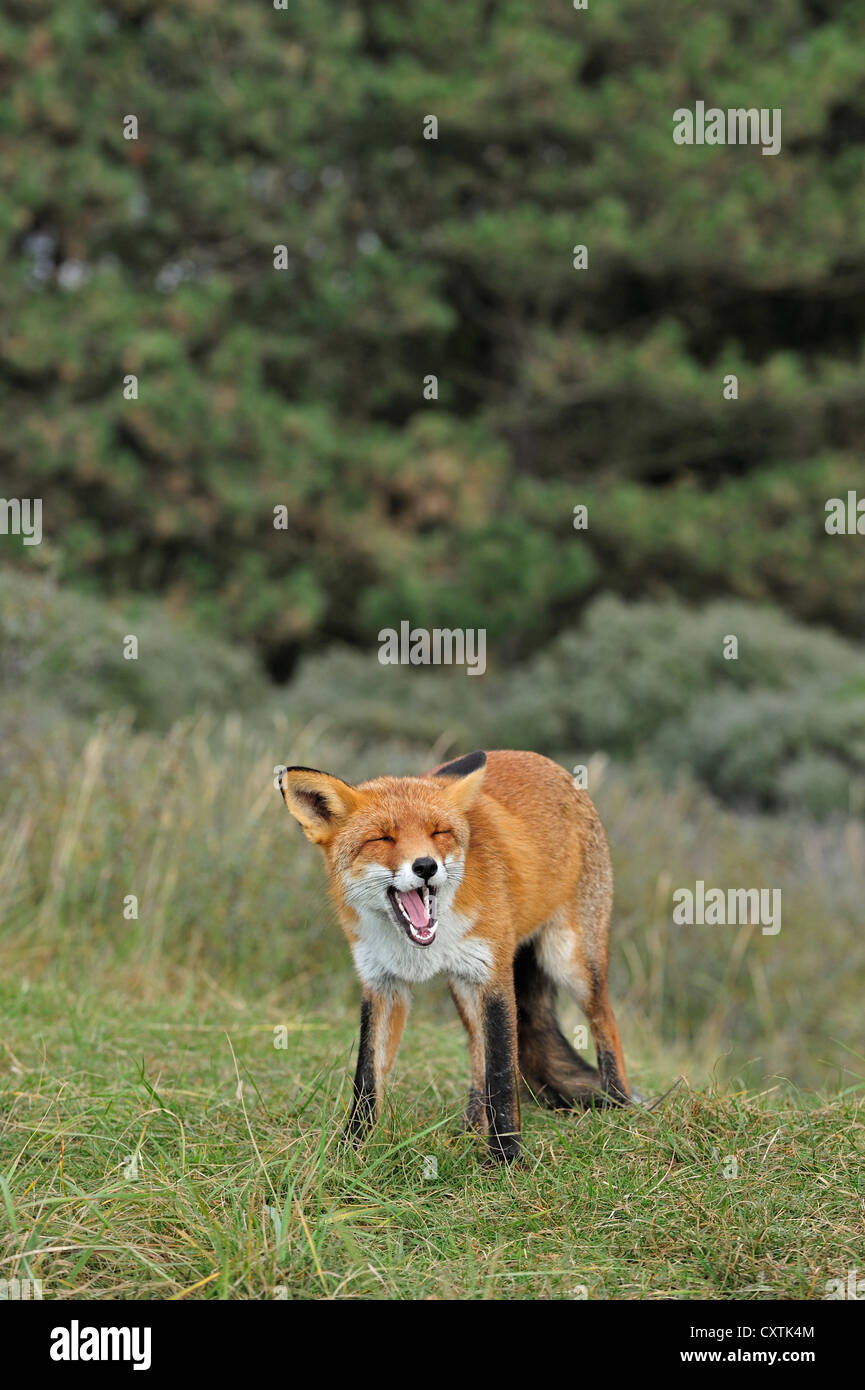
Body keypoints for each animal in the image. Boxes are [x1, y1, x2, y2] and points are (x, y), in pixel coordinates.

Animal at [276, 749, 630, 1162]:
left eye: (438, 833)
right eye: (383, 837)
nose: (426, 865)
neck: (422, 945)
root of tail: (545, 762)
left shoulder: (494, 974)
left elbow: (502, 1073)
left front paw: (506, 1158)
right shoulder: (382, 982)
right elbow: (367, 1077)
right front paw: (352, 1150)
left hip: (570, 961)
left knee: (605, 1023)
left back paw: (620, 1106)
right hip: (462, 986)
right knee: (477, 1053)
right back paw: (468, 1130)